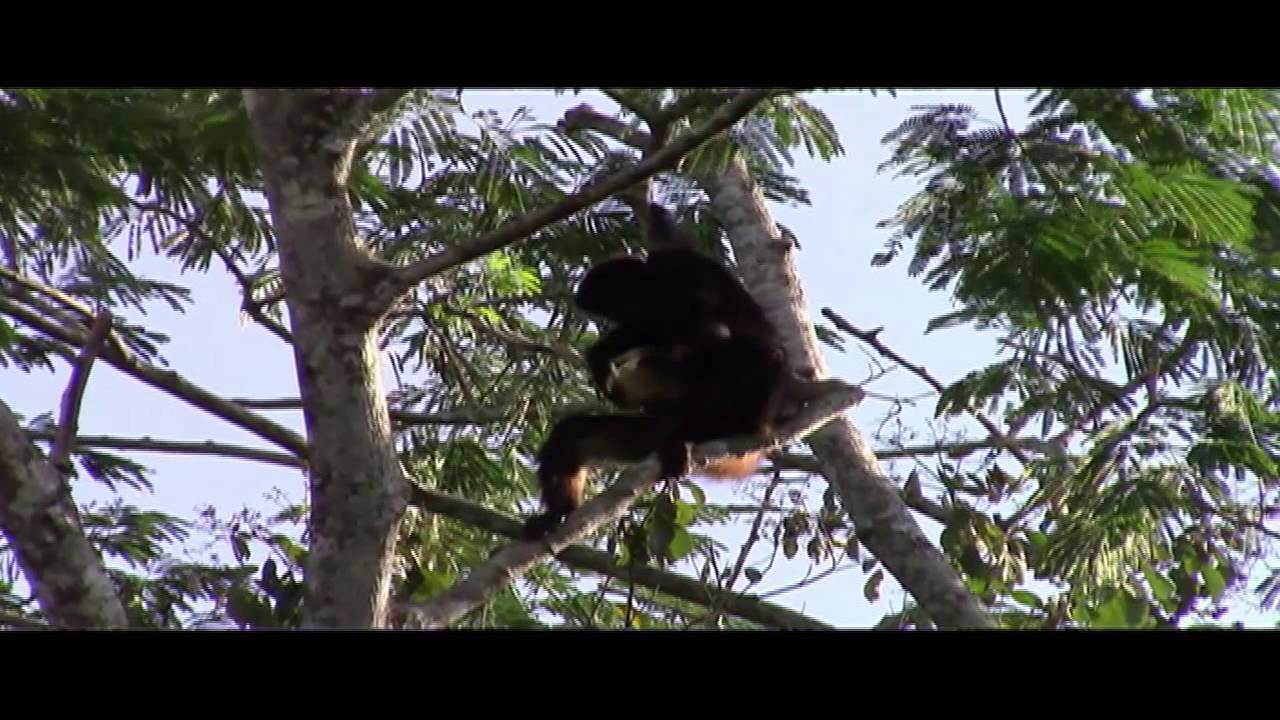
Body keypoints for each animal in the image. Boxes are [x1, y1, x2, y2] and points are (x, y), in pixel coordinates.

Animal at [522, 201, 792, 539]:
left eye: (615, 304)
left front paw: (602, 354)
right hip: (654, 429)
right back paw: (558, 513)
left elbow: (685, 318)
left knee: (751, 348)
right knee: (574, 435)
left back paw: (742, 424)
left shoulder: (678, 272)